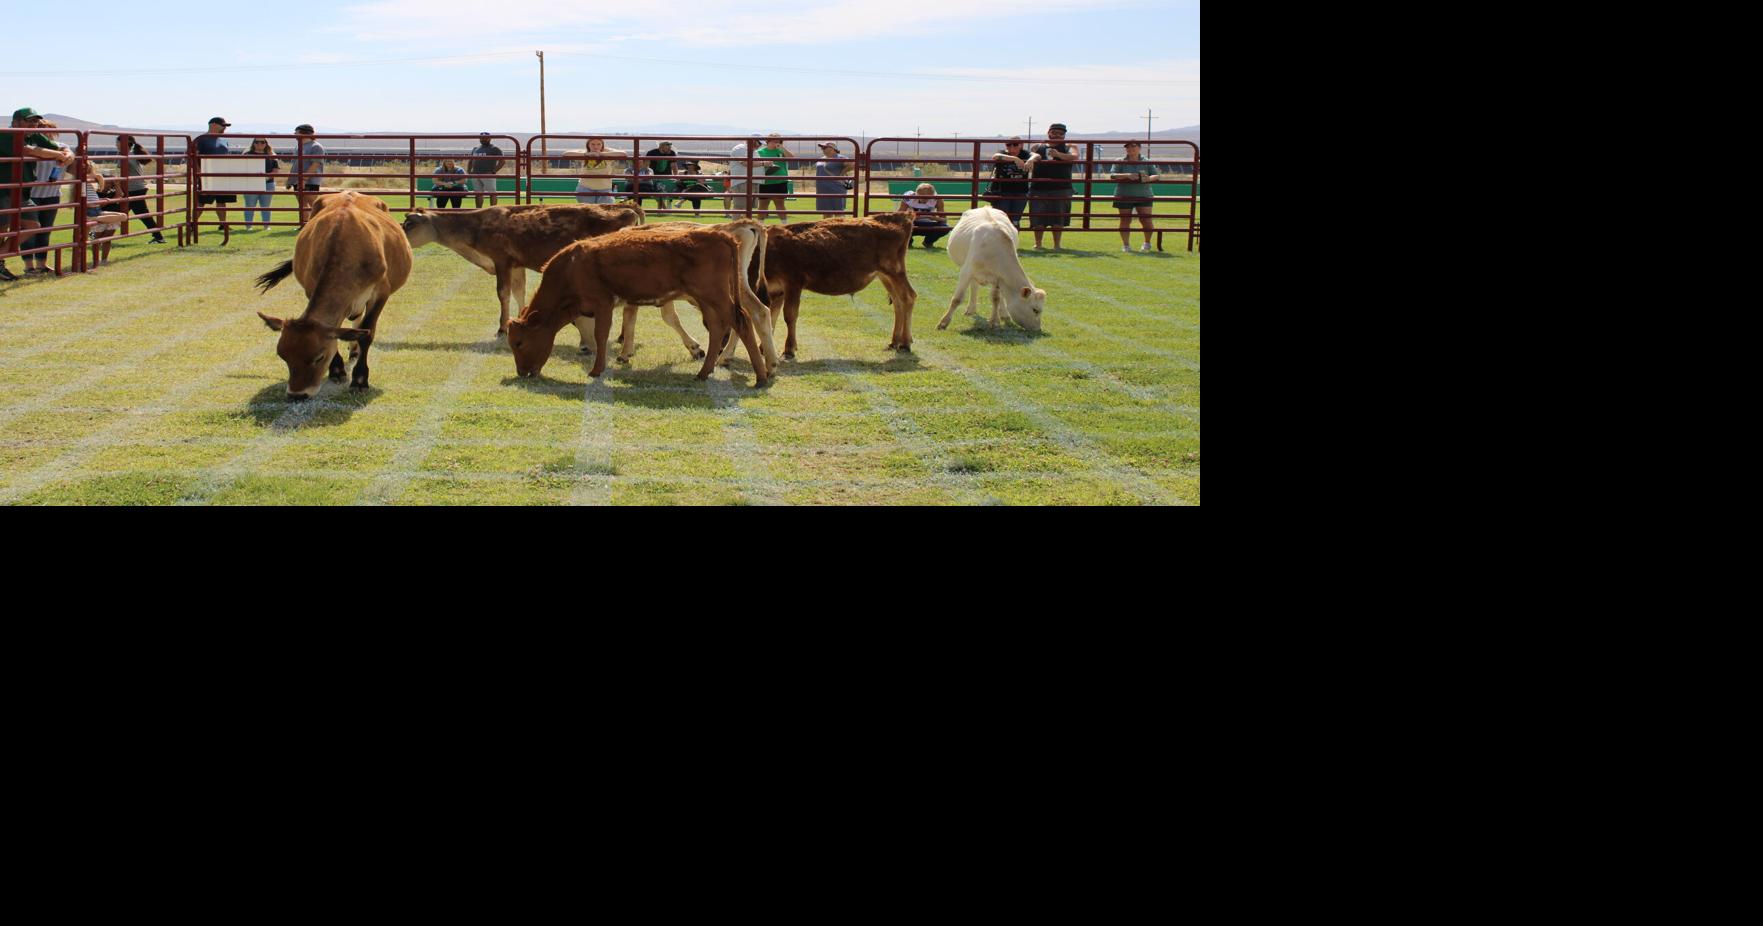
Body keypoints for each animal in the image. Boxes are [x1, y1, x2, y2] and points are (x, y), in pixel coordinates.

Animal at [253, 192, 411, 400]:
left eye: (319, 357)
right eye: (282, 355)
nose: (297, 394)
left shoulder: (380, 293)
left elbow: (367, 333)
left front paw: (360, 379)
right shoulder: (311, 288)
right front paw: (336, 370)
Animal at [400, 203, 711, 356]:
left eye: (410, 223)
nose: (399, 236)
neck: (474, 229)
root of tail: (628, 208)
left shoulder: (502, 260)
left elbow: (503, 293)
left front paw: (500, 328)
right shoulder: (517, 265)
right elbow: (519, 293)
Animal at [506, 219, 775, 386]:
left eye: (519, 343)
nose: (522, 372)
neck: (572, 265)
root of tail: (723, 234)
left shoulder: (603, 303)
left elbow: (603, 334)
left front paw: (597, 369)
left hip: (716, 296)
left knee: (744, 319)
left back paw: (761, 375)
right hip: (707, 299)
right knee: (720, 328)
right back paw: (706, 371)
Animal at [710, 213, 917, 364]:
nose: (718, 348)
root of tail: (900, 217)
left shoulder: (793, 282)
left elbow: (789, 315)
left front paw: (789, 349)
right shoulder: (777, 290)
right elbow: (773, 315)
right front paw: (764, 348)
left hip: (894, 272)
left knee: (908, 297)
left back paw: (905, 343)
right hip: (885, 276)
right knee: (898, 302)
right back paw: (895, 341)